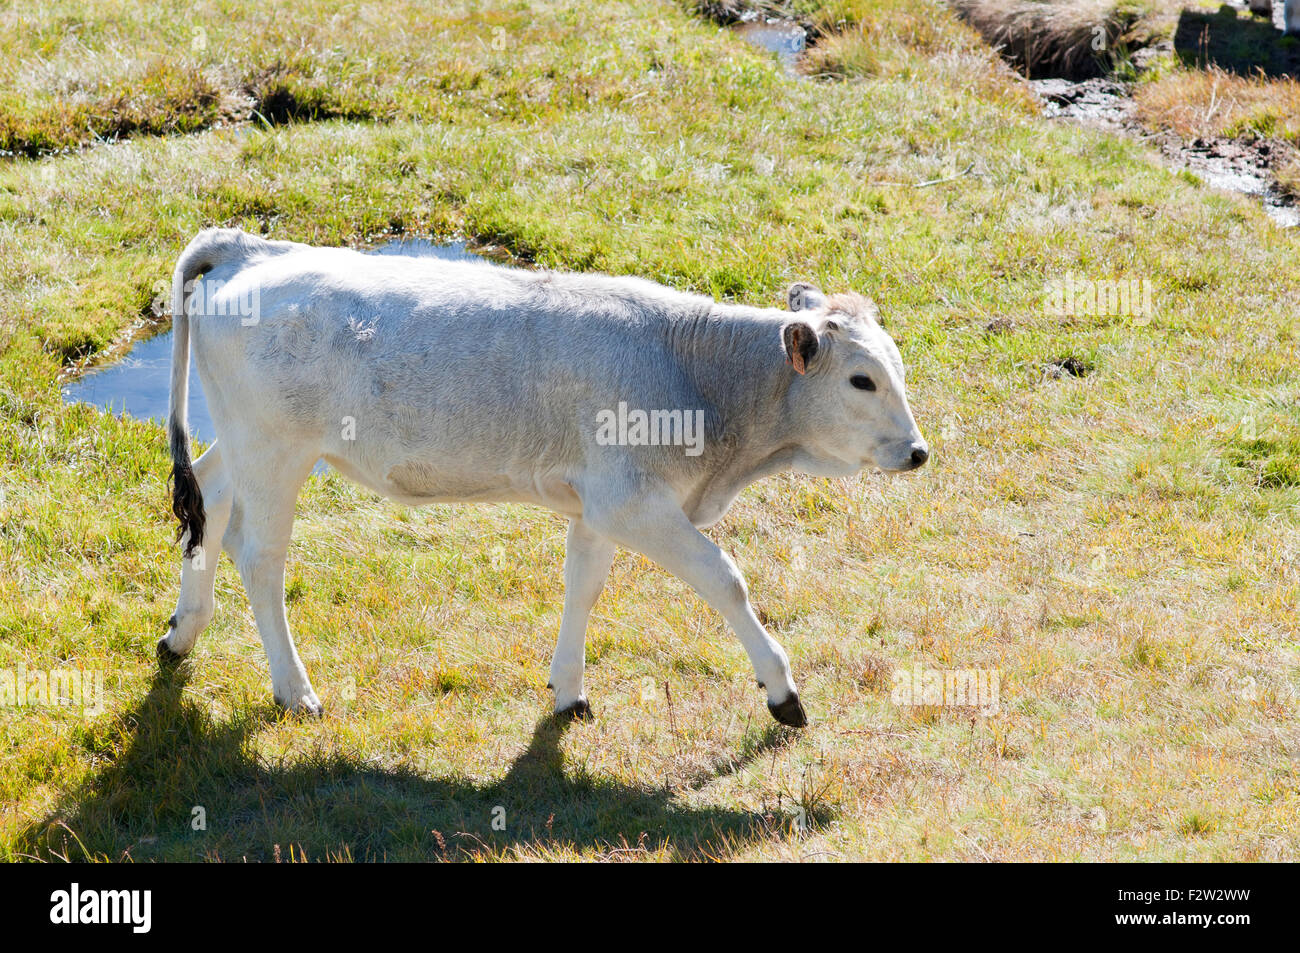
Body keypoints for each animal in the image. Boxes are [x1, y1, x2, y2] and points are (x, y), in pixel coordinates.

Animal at [159, 228, 928, 727]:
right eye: (862, 379)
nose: (919, 451)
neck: (701, 374)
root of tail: (251, 248)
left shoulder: (597, 507)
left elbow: (583, 584)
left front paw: (569, 690)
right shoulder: (635, 504)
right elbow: (725, 579)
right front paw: (782, 693)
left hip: (243, 440)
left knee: (209, 499)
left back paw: (180, 633)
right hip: (275, 449)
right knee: (259, 555)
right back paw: (295, 690)